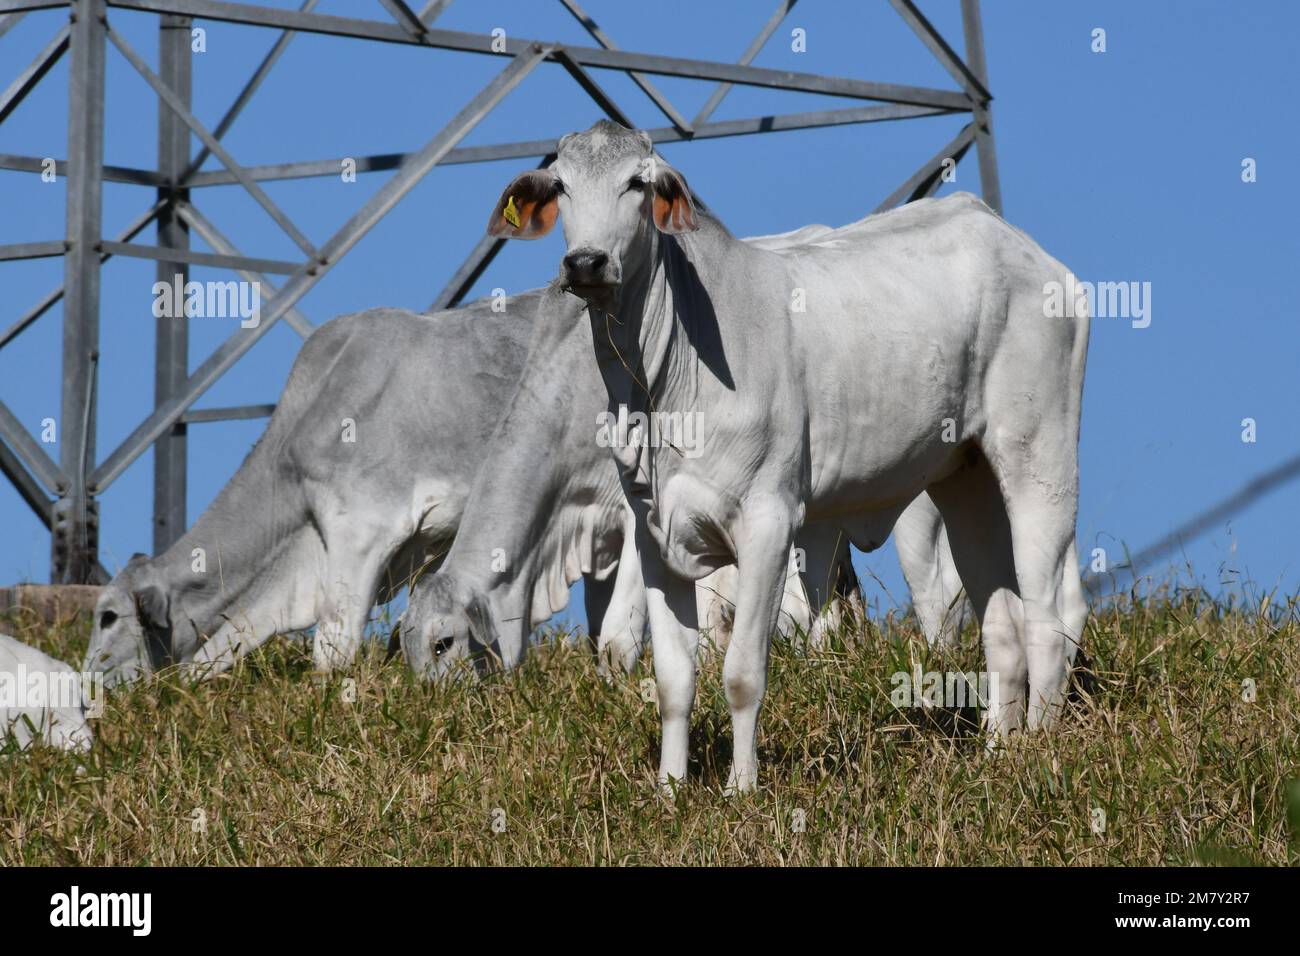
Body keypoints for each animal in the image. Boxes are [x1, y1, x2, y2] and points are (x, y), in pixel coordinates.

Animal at [480, 120, 1089, 791]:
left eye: (637, 182)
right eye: (561, 184)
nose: (586, 262)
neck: (661, 387)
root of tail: (1005, 233)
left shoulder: (770, 521)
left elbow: (743, 672)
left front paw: (742, 788)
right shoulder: (655, 535)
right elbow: (673, 681)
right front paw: (670, 790)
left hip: (1038, 453)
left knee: (1049, 607)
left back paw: (1040, 747)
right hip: (965, 475)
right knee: (1000, 620)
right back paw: (997, 751)